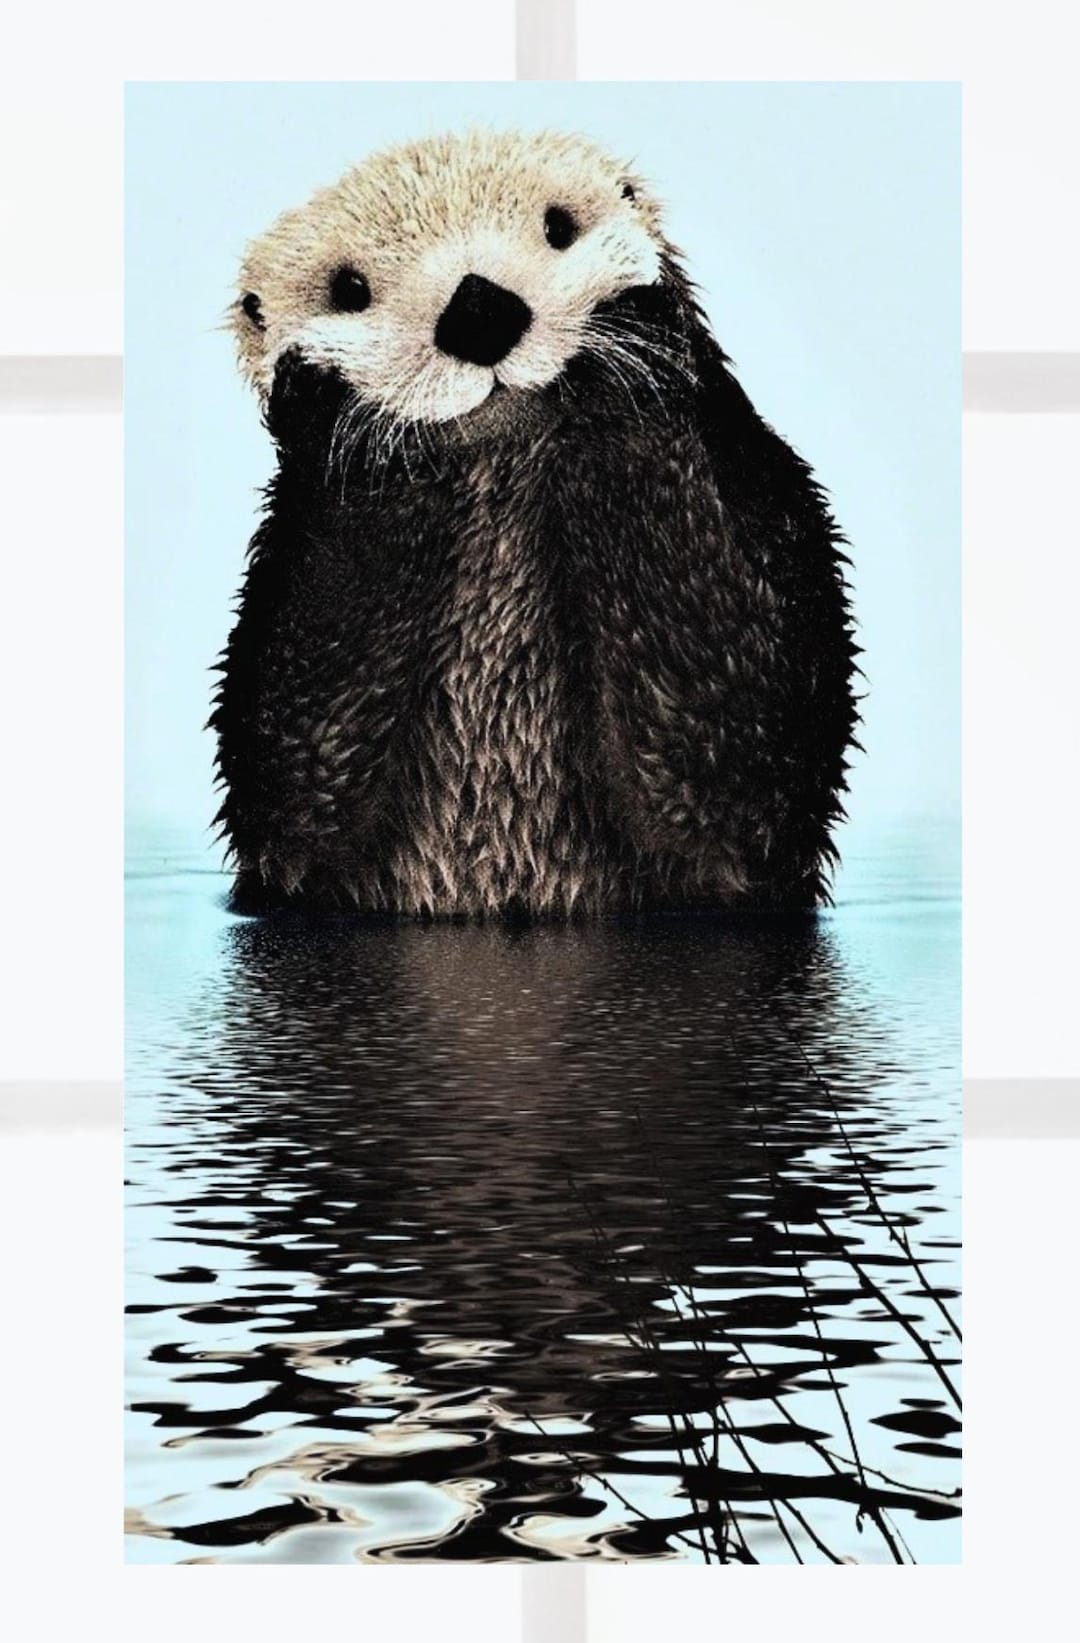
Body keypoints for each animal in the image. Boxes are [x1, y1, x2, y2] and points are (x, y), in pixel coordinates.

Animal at [213, 128, 857, 917]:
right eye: (349, 290)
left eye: (559, 227)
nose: (478, 309)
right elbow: (299, 777)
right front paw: (336, 405)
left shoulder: (765, 499)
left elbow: (738, 753)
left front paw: (629, 339)